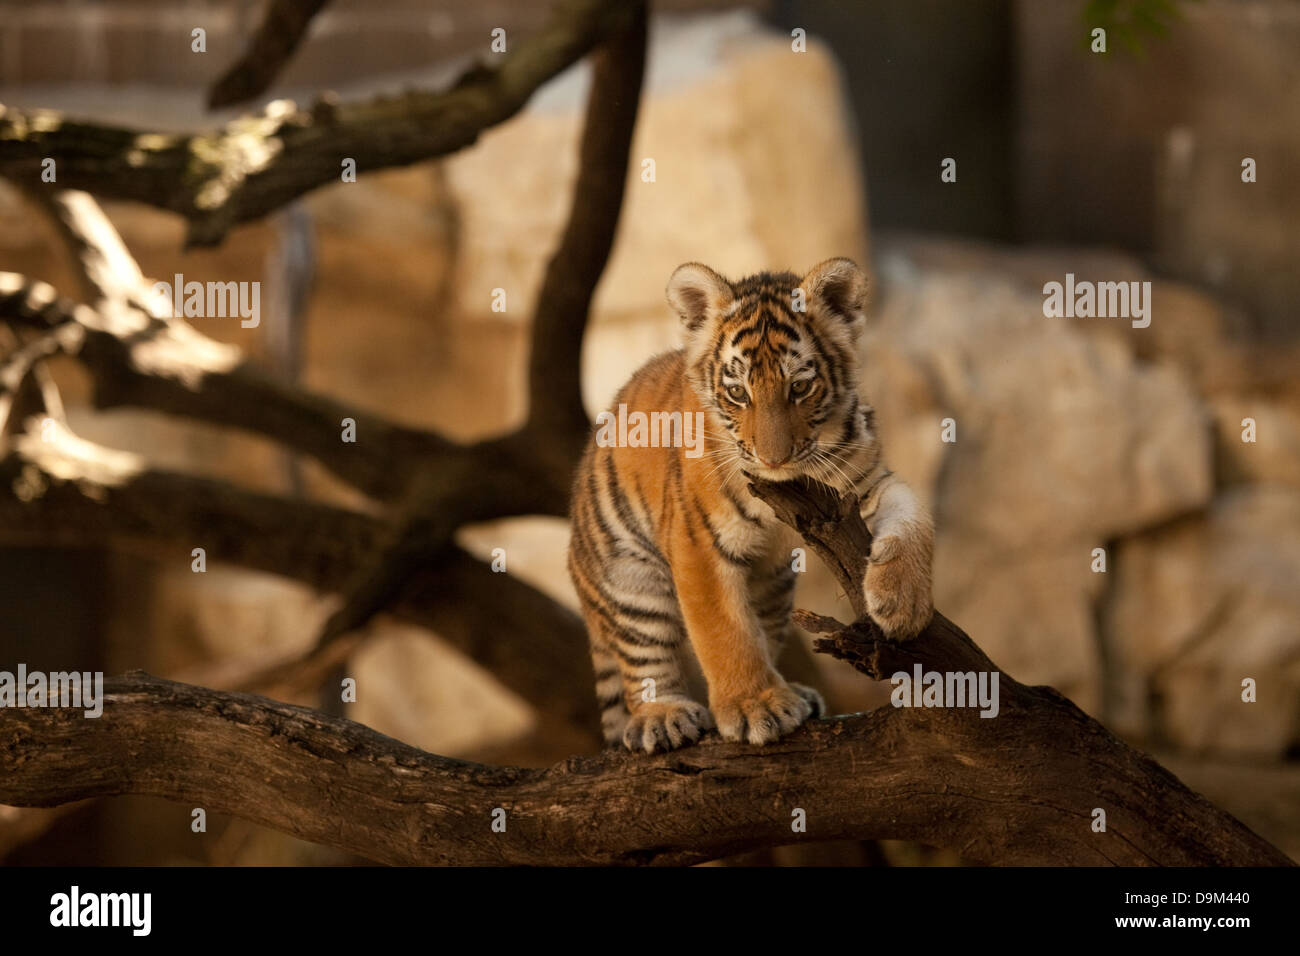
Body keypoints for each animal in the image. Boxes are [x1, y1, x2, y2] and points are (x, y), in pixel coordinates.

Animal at [566, 257, 934, 753]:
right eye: (738, 392)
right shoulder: (698, 542)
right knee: (643, 662)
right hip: (630, 578)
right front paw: (755, 707)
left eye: (800, 387)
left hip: (774, 585)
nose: (772, 458)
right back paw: (662, 717)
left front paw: (904, 605)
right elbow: (724, 631)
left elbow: (914, 516)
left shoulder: (867, 484)